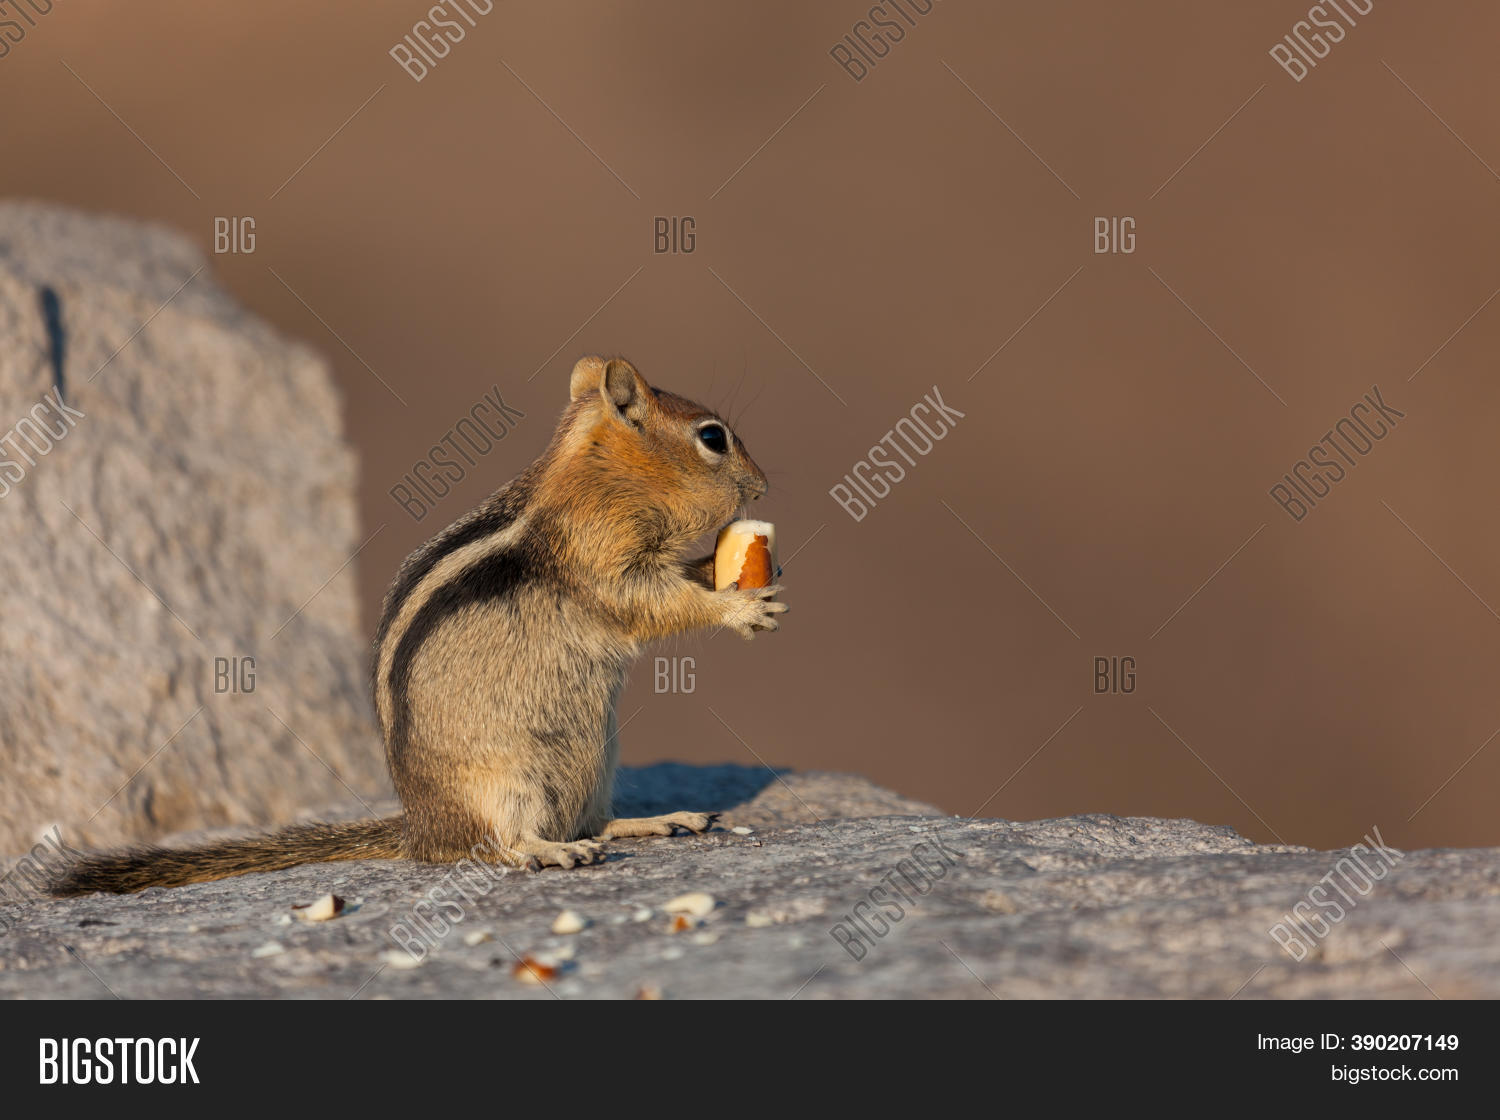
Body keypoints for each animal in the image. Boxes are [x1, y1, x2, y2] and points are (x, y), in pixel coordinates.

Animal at [50, 356, 786, 895]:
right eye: (713, 438)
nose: (764, 483)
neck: (602, 476)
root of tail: (422, 833)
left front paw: (742, 575)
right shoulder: (602, 559)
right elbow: (651, 604)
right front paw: (742, 607)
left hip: (597, 761)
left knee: (598, 822)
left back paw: (655, 820)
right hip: (506, 781)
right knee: (501, 844)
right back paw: (548, 853)